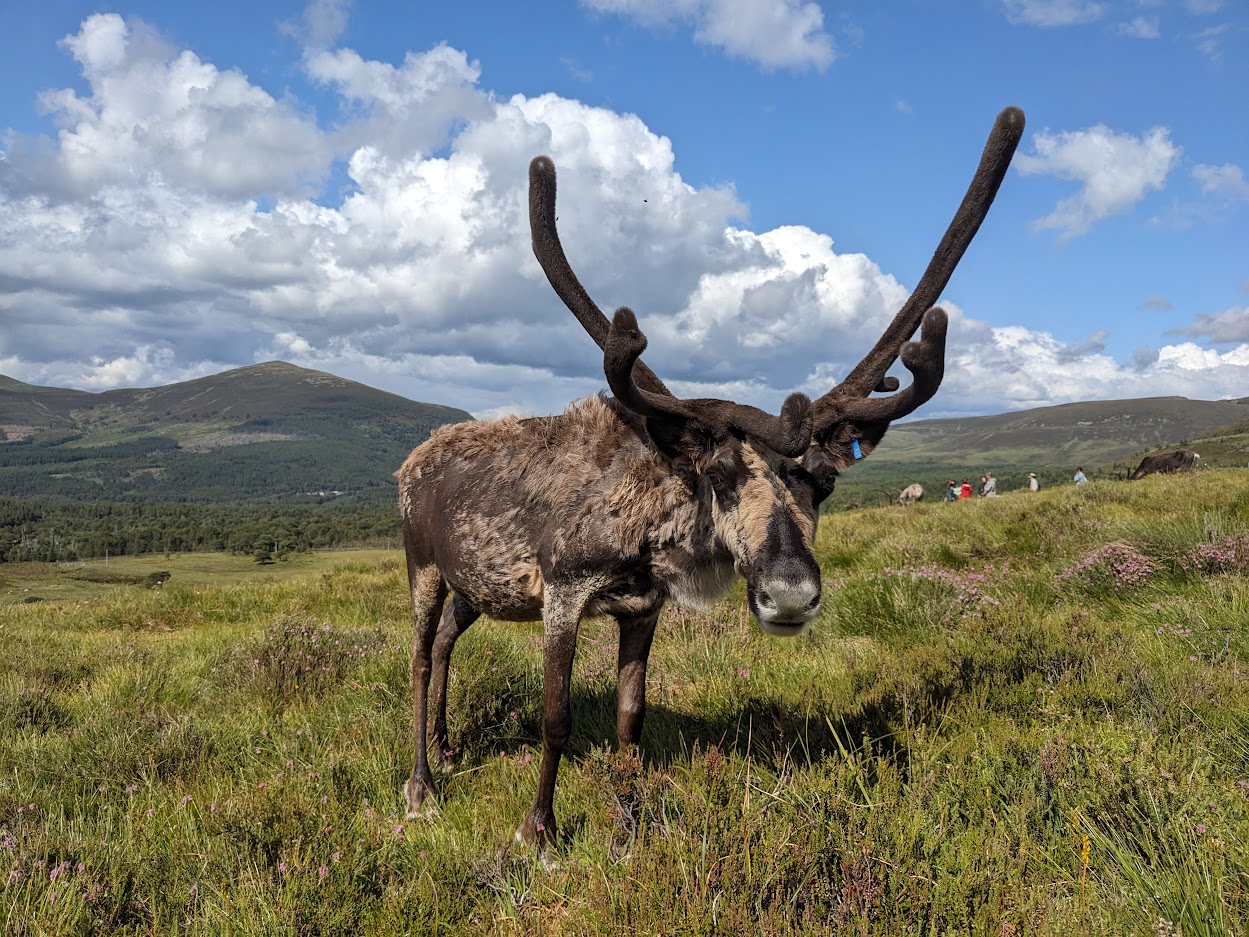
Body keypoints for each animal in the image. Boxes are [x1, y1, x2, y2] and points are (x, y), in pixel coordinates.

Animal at [396, 106, 1025, 848]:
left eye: (823, 481)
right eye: (719, 474)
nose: (789, 593)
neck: (648, 527)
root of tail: (414, 457)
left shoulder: (641, 609)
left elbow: (630, 718)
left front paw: (627, 828)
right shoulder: (562, 592)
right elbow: (556, 716)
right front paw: (539, 831)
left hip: (475, 584)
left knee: (445, 641)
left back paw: (447, 748)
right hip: (422, 564)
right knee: (418, 655)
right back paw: (420, 784)